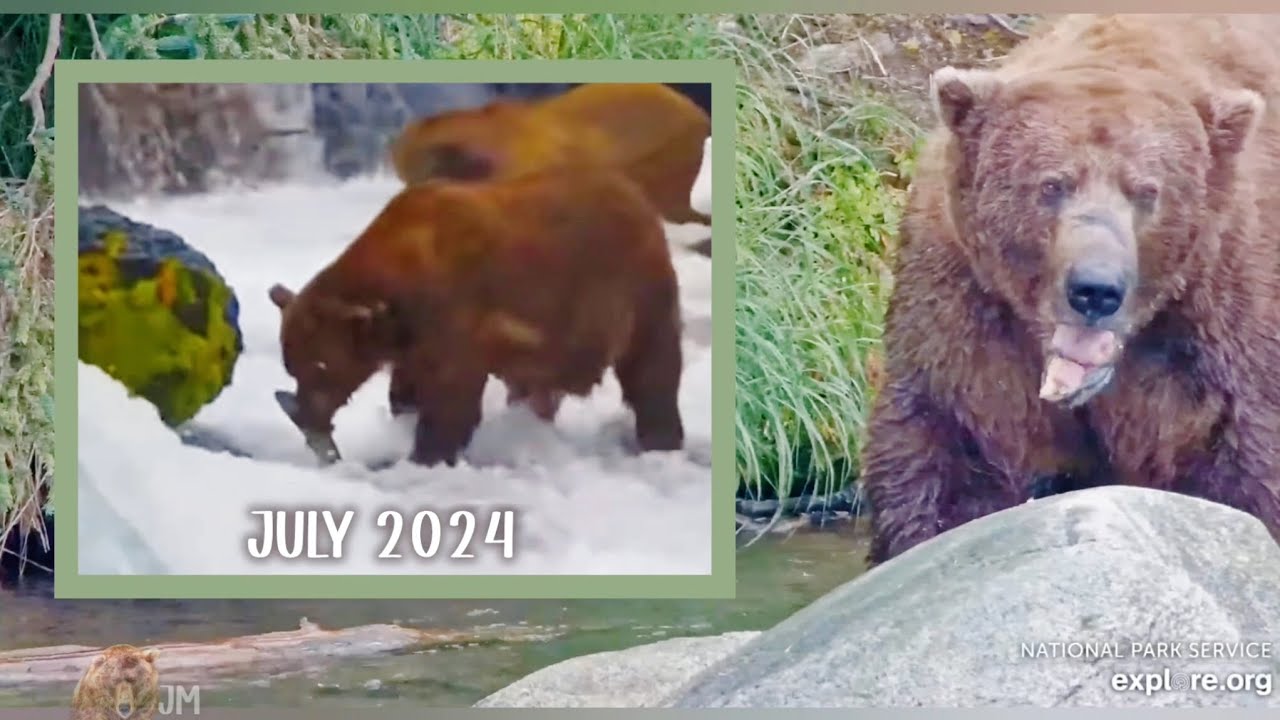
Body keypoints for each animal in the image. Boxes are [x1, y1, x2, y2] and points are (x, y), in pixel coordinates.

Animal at [268, 163, 685, 467]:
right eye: (293, 366)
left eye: (321, 366)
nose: (303, 415)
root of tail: (640, 198)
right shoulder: (414, 337)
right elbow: (409, 386)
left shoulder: (459, 312)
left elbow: (451, 396)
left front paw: (427, 454)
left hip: (633, 294)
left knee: (652, 370)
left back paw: (660, 439)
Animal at [859, 14, 1280, 564]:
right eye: (1051, 184)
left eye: (1147, 191)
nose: (1095, 290)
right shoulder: (964, 302)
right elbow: (950, 447)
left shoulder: (1226, 312)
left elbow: (1244, 464)